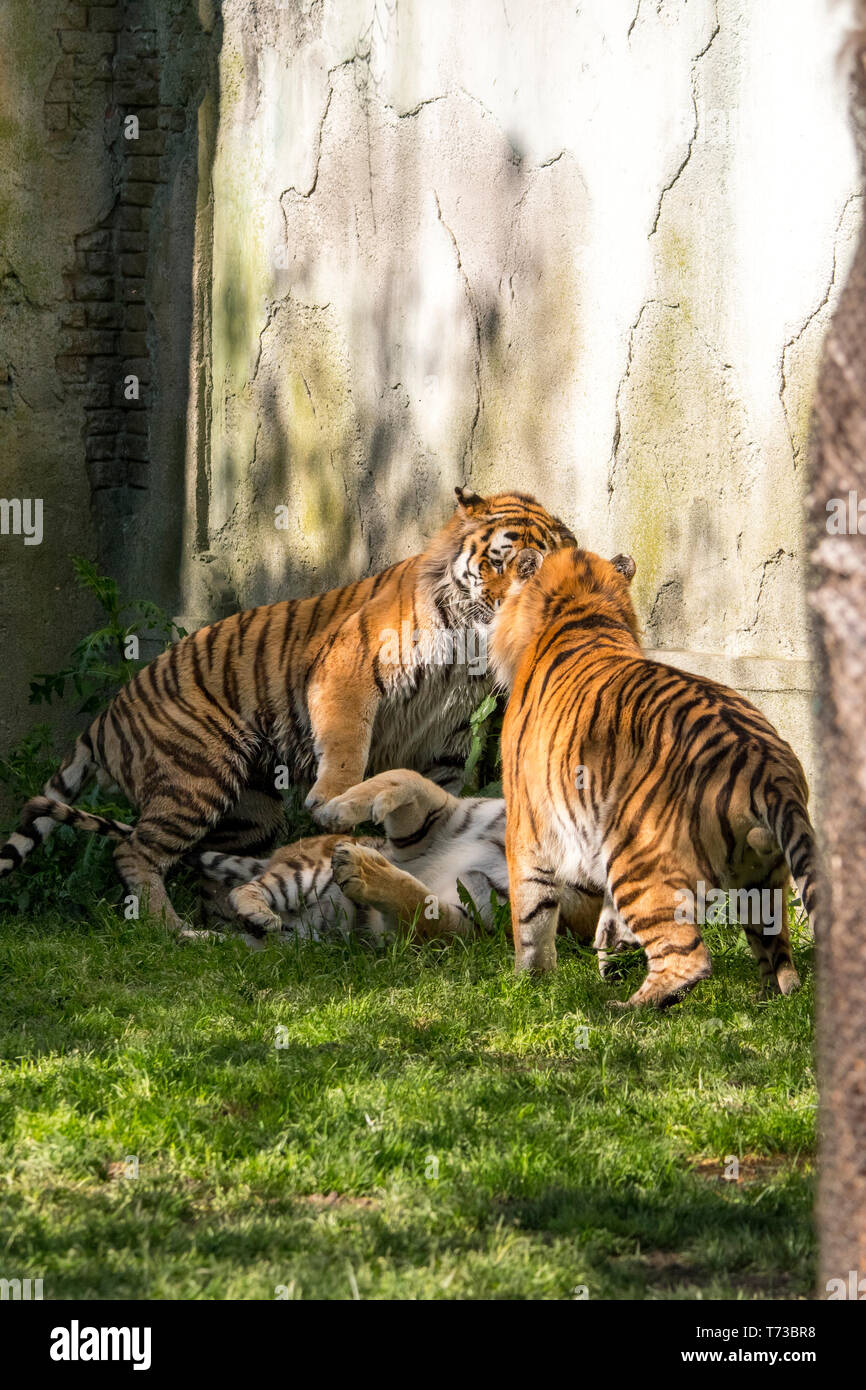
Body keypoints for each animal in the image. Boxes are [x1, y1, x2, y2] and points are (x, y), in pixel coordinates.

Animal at [0, 489, 575, 931]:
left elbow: (434, 794)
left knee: (213, 869)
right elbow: (346, 742)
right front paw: (333, 799)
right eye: (498, 561)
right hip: (195, 776)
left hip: (250, 808)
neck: (468, 643)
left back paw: (233, 924)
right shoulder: (349, 670)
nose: (507, 605)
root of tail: (107, 715)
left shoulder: (447, 735)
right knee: (134, 852)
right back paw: (174, 929)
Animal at [491, 545, 818, 1009]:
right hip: (764, 880)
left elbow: (531, 918)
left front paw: (529, 983)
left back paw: (625, 1008)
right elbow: (604, 916)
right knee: (780, 958)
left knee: (688, 959)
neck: (584, 610)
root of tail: (767, 764)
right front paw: (610, 955)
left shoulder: (528, 829)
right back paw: (767, 999)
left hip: (637, 859)